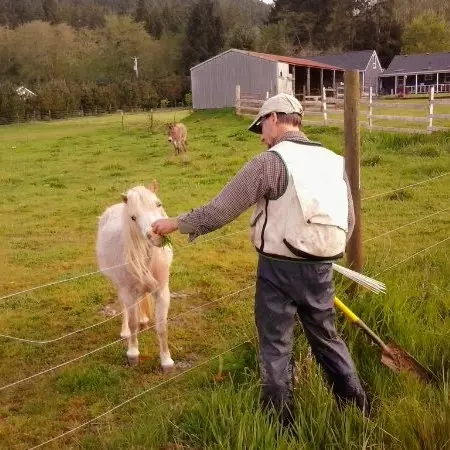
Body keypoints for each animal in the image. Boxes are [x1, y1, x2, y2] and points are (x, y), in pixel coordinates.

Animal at [95, 182, 174, 370]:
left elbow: (162, 327)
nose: (156, 234)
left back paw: (144, 319)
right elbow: (133, 324)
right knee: (124, 308)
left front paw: (166, 361)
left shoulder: (162, 292)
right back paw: (124, 331)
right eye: (133, 217)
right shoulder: (129, 292)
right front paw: (133, 354)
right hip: (120, 287)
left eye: (158, 204)